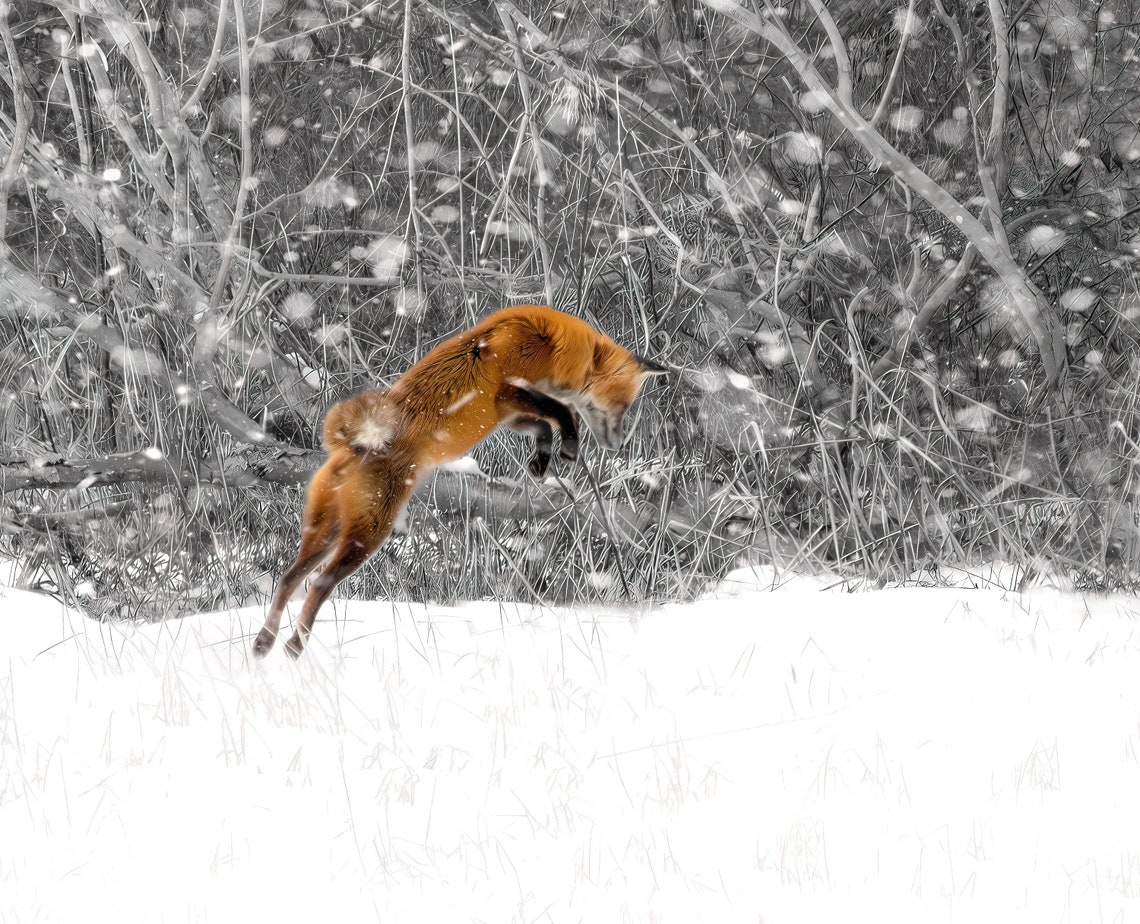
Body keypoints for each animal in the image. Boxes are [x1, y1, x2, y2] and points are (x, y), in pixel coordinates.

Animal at [252, 304, 666, 659]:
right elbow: (559, 411)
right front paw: (568, 443)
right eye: (622, 405)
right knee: (319, 584)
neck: (554, 343)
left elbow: (542, 425)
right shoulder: (508, 391)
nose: (617, 444)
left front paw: (541, 461)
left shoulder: (508, 411)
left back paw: (263, 643)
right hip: (367, 535)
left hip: (326, 532)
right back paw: (294, 646)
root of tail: (350, 447)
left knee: (288, 579)